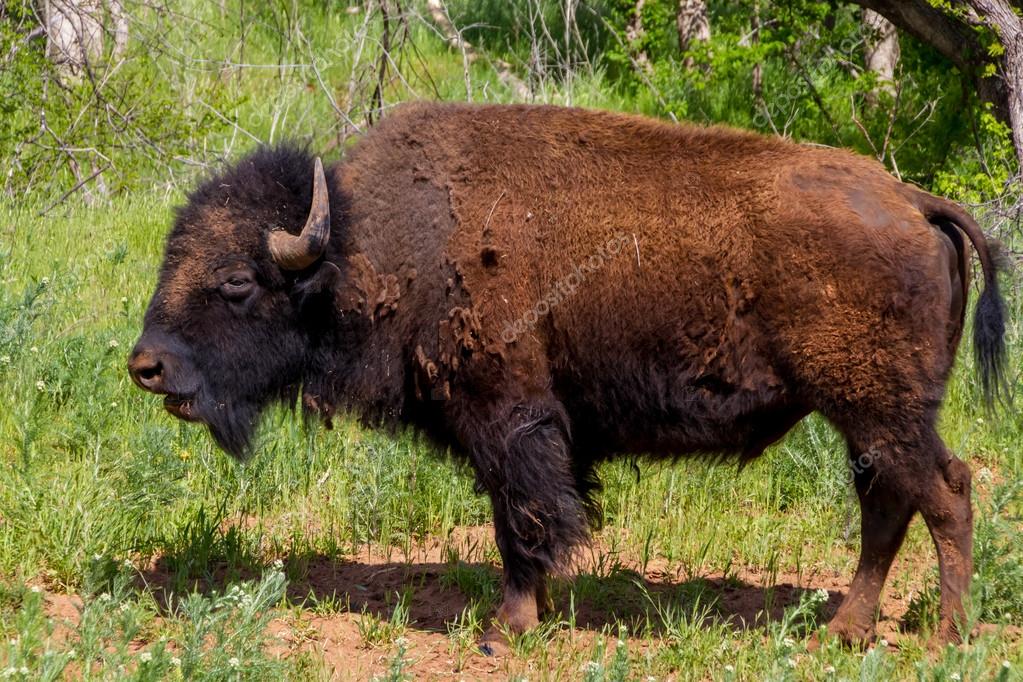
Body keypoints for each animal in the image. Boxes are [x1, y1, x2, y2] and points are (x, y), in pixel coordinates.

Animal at [129, 102, 1007, 649]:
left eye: (235, 282)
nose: (147, 366)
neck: (362, 246)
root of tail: (913, 200)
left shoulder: (508, 421)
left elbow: (522, 520)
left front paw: (505, 627)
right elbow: (538, 517)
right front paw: (534, 614)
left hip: (875, 407)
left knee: (943, 492)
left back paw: (943, 634)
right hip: (868, 415)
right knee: (891, 502)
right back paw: (845, 631)